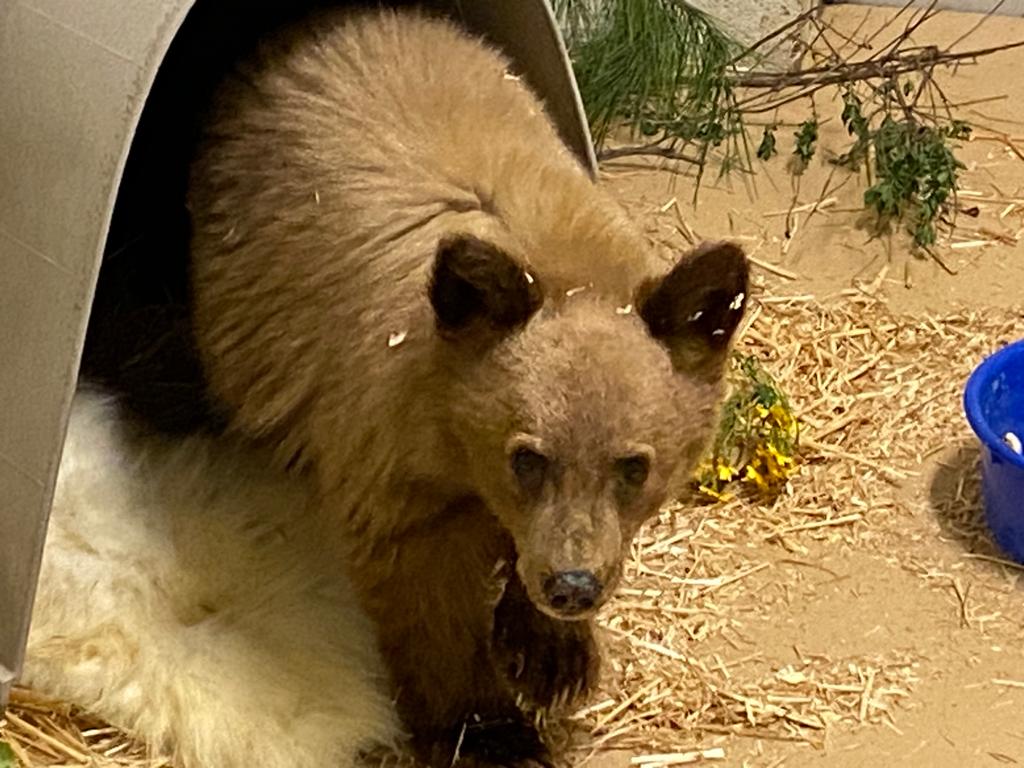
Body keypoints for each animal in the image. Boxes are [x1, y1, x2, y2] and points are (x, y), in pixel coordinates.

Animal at [185, 6, 748, 765]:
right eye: (527, 457)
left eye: (635, 465)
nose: (573, 587)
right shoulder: (386, 439)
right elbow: (421, 589)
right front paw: (488, 726)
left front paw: (551, 651)